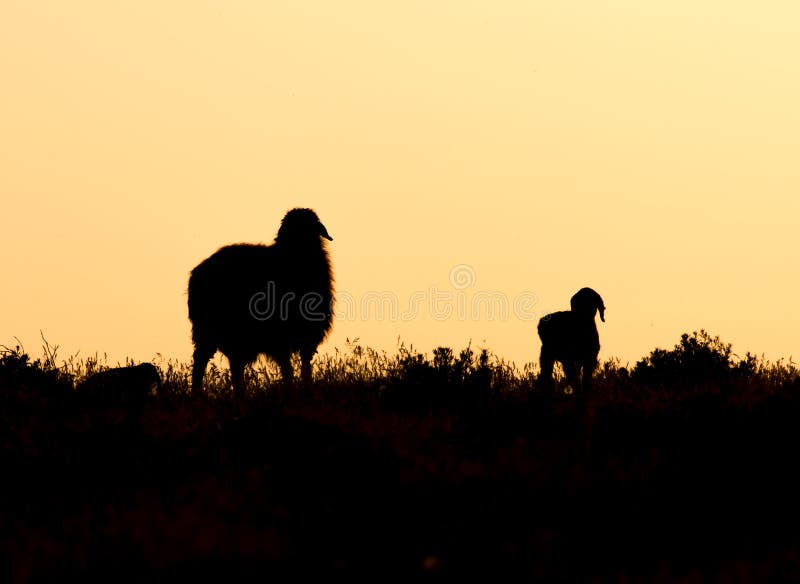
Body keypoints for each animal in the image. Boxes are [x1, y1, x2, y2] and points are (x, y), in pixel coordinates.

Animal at [188, 207, 334, 392]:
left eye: (310, 225)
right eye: (289, 227)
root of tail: (196, 271)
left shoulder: (307, 337)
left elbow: (305, 367)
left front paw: (308, 388)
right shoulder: (280, 336)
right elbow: (287, 368)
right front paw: (291, 389)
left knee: (234, 366)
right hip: (209, 331)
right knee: (201, 362)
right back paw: (199, 393)